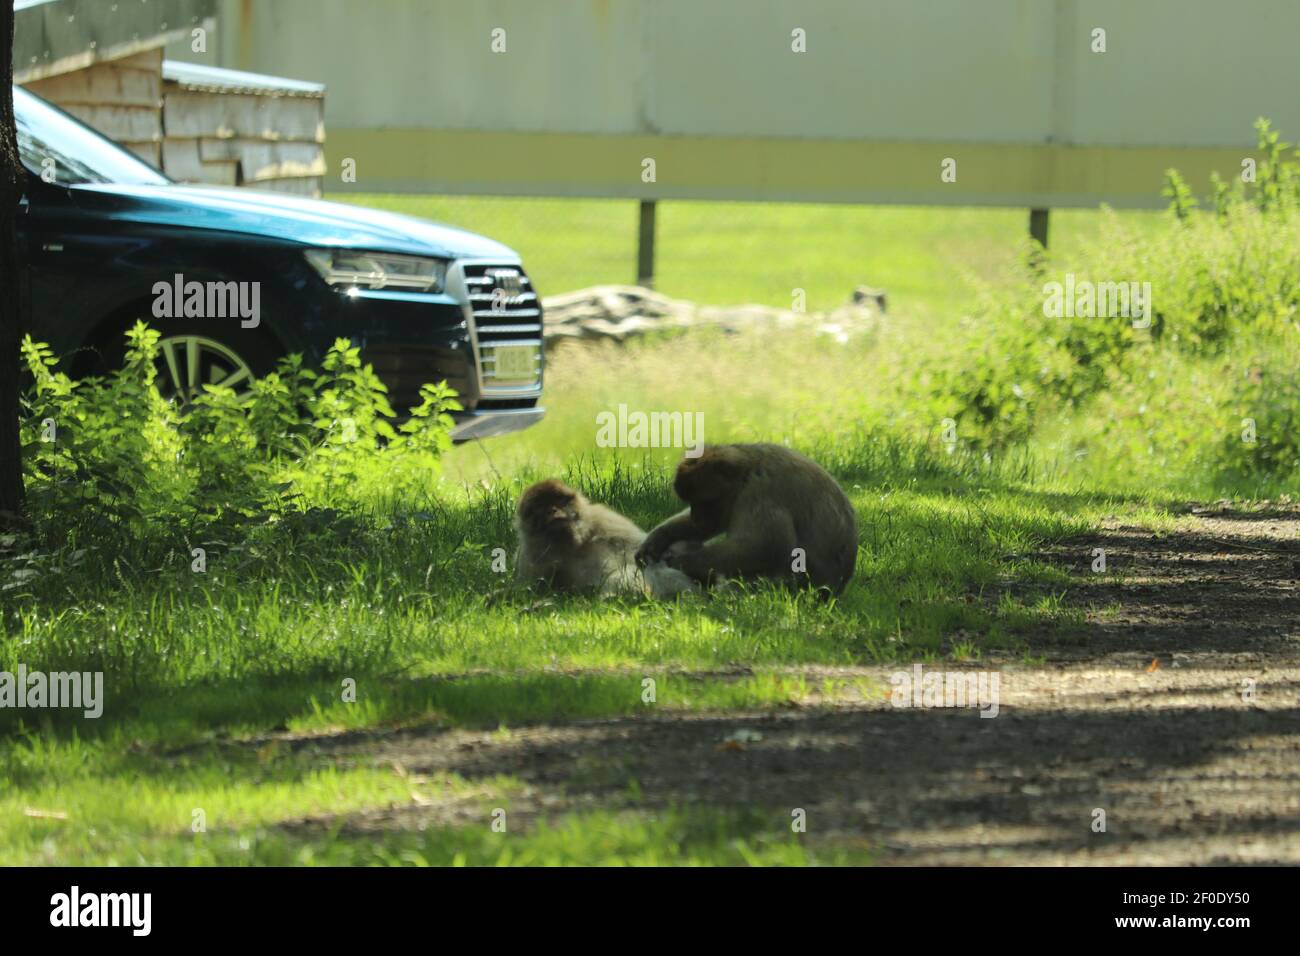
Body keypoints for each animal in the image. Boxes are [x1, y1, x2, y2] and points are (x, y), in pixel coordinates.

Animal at [635, 444, 858, 595]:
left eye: (705, 503)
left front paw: (682, 562)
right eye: (693, 503)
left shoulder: (758, 492)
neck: (747, 470)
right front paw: (657, 539)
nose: (696, 515)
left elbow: (768, 546)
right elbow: (708, 529)